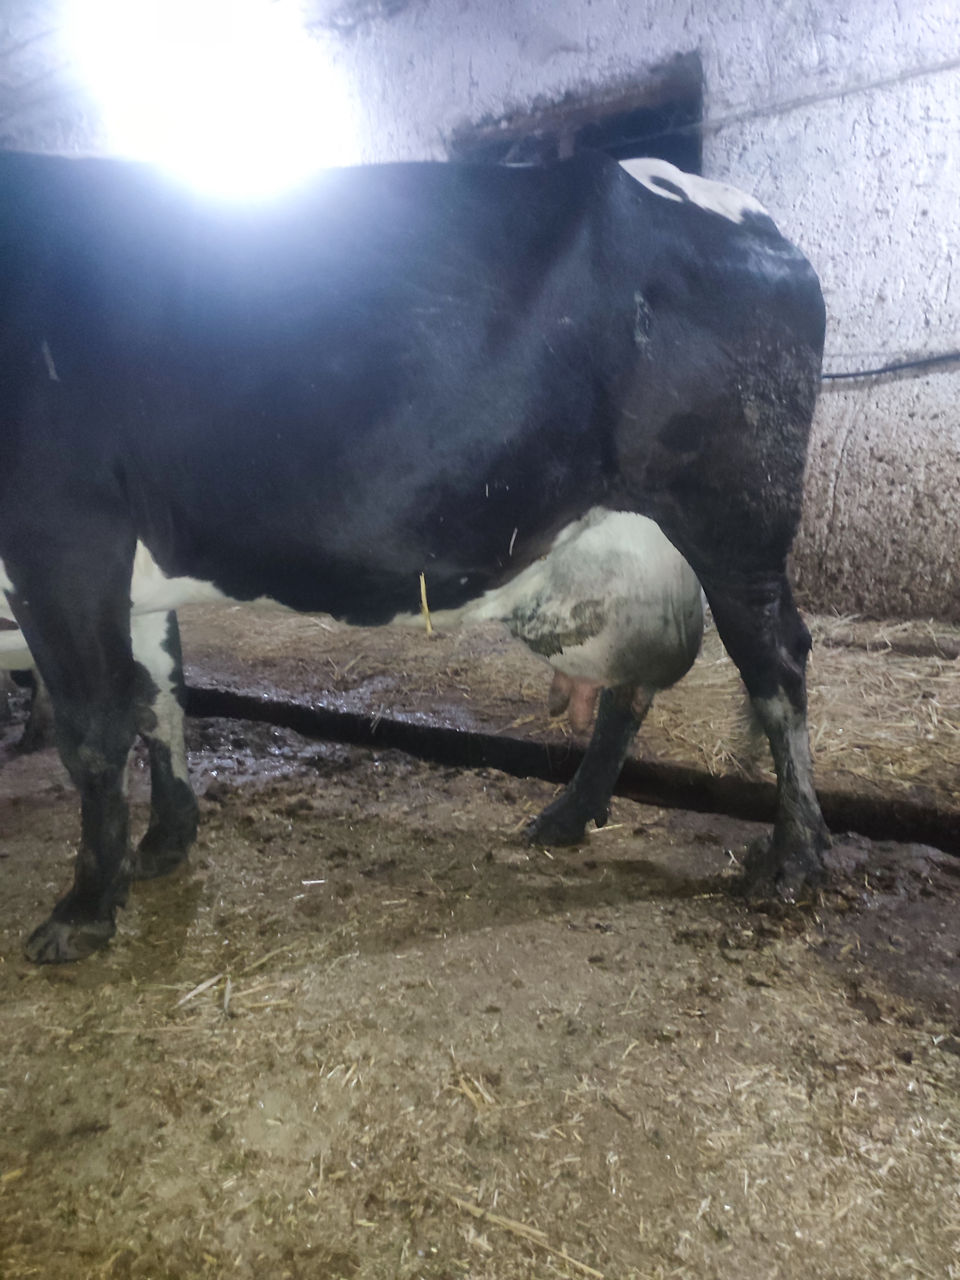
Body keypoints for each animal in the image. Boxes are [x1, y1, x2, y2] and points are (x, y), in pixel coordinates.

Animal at [0, 148, 828, 962]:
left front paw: (82, 911)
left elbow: (95, 731)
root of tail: (747, 214)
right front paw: (164, 844)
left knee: (776, 661)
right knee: (639, 683)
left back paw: (796, 858)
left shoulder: (61, 537)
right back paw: (570, 814)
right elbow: (161, 699)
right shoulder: (132, 574)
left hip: (736, 513)